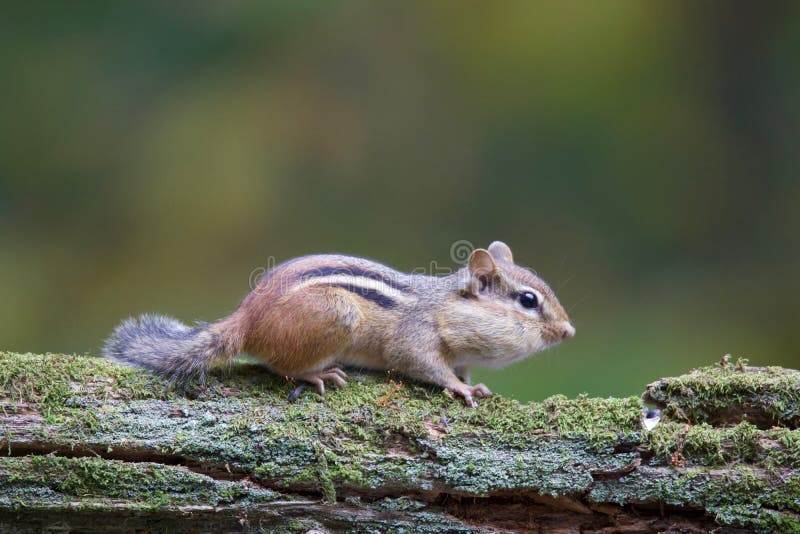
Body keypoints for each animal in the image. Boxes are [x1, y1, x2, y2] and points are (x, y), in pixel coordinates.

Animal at [103, 241, 575, 406]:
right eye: (528, 301)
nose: (569, 332)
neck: (441, 306)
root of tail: (245, 318)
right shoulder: (416, 338)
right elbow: (425, 366)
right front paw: (459, 388)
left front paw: (475, 384)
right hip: (336, 313)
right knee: (278, 365)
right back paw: (316, 375)